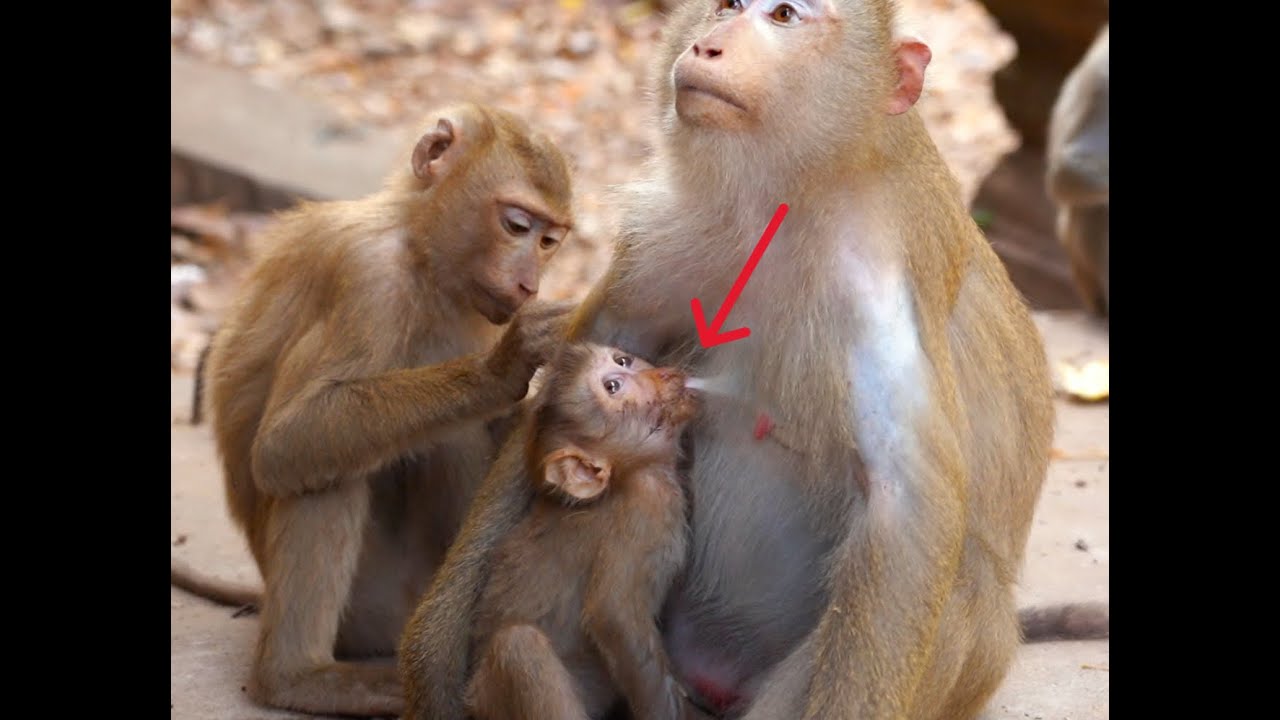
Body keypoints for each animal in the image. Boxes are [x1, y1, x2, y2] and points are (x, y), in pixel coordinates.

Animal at [175, 101, 576, 718]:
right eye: (516, 225)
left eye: (550, 240)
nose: (530, 283)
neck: (420, 251)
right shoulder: (368, 278)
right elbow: (287, 441)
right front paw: (504, 368)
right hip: (371, 609)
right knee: (323, 471)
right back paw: (297, 678)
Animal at [463, 342, 705, 720]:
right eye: (613, 387)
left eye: (623, 361)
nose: (663, 373)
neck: (626, 474)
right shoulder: (648, 504)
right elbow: (613, 613)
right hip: (493, 699)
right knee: (519, 645)